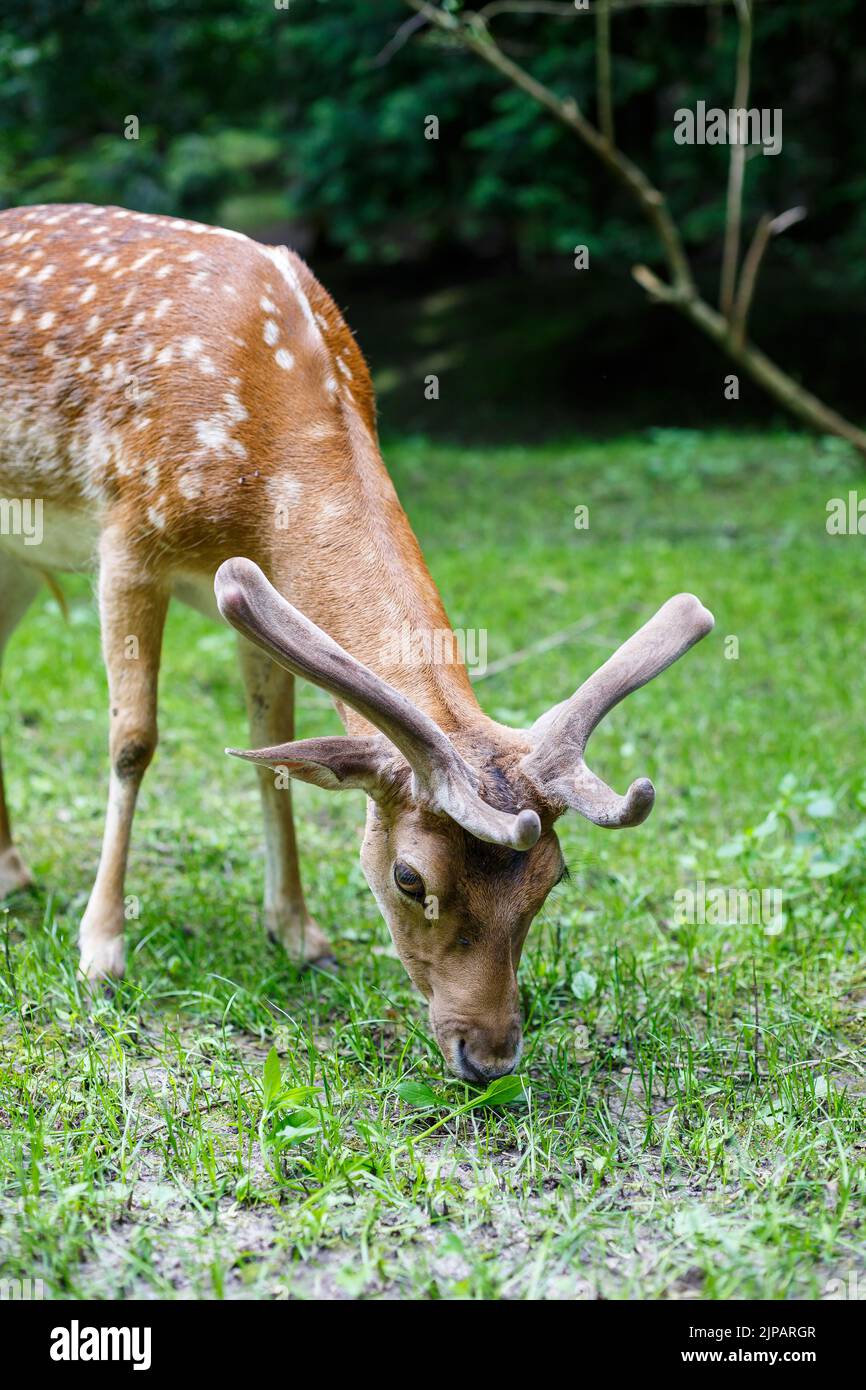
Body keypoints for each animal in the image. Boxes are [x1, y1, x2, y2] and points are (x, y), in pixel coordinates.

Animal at [0, 203, 713, 1081]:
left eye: (554, 877)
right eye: (410, 878)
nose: (490, 1054)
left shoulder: (255, 590)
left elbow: (272, 748)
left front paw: (298, 933)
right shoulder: (129, 536)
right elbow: (133, 741)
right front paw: (101, 951)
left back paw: (11, 868)